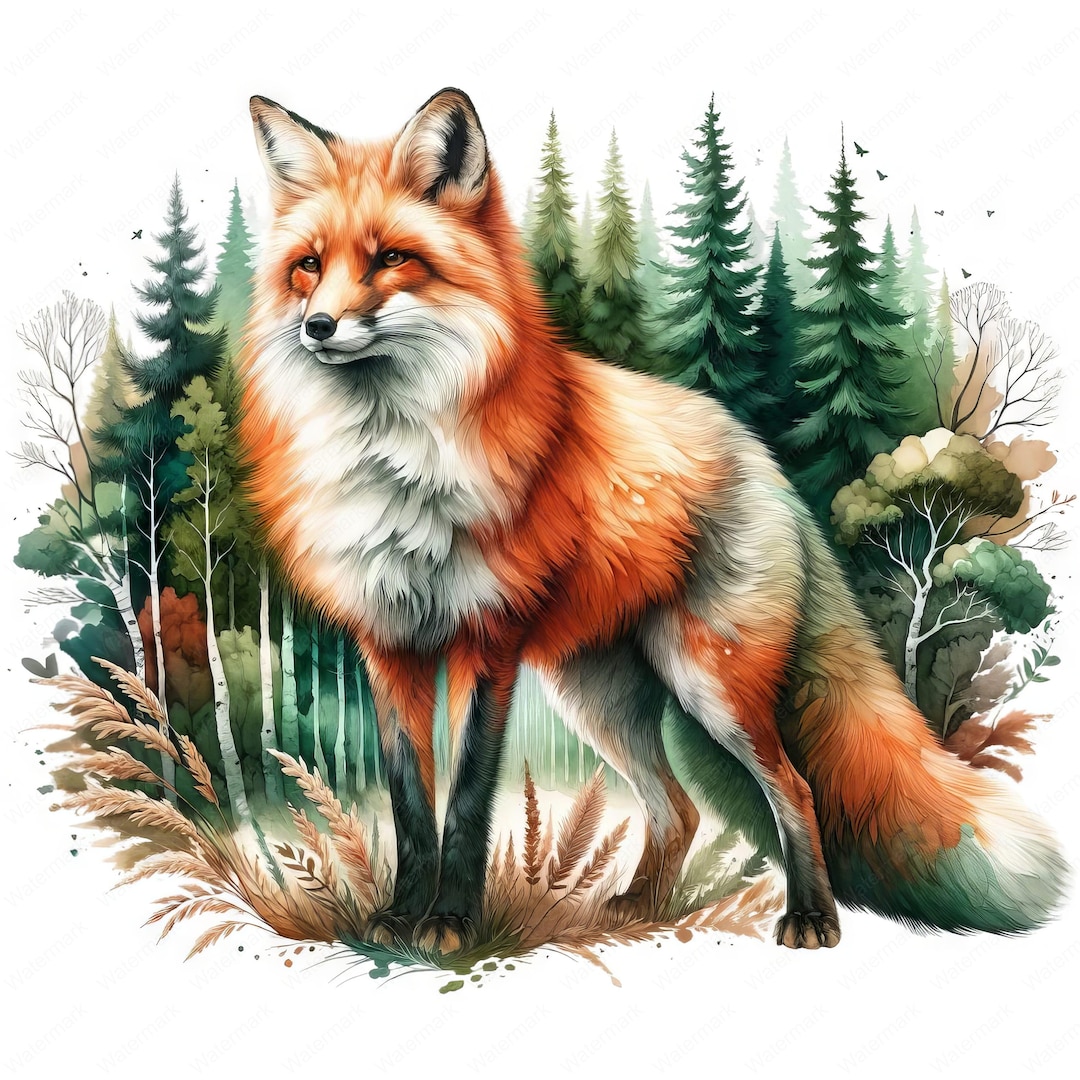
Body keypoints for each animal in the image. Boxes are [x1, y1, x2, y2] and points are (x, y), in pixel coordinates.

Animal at [236, 88, 1067, 953]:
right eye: (308, 266)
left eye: (391, 258)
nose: (318, 326)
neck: (395, 463)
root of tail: (756, 453)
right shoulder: (388, 644)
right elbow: (409, 804)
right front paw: (400, 919)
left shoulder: (486, 641)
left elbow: (464, 802)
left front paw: (451, 924)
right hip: (596, 697)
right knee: (680, 808)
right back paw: (640, 906)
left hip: (713, 684)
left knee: (793, 787)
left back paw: (809, 915)